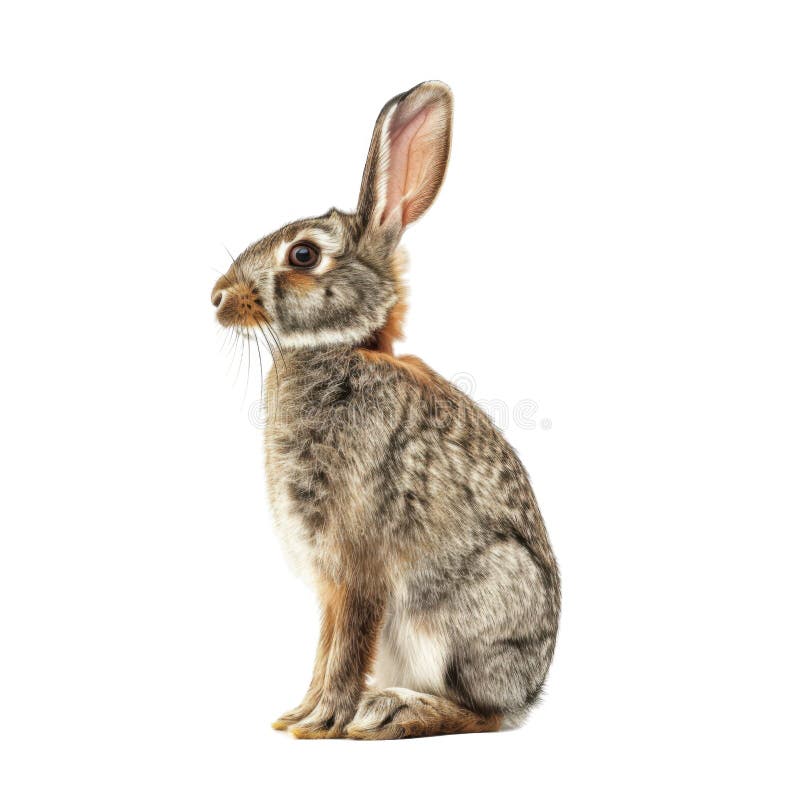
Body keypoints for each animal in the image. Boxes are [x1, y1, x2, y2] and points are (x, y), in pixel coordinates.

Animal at [211, 81, 560, 739]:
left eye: (303, 255)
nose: (216, 297)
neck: (340, 348)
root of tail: (531, 691)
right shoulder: (330, 578)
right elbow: (326, 645)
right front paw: (298, 714)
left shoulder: (357, 562)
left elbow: (346, 645)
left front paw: (322, 722)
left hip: (464, 613)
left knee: (480, 714)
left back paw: (390, 711)